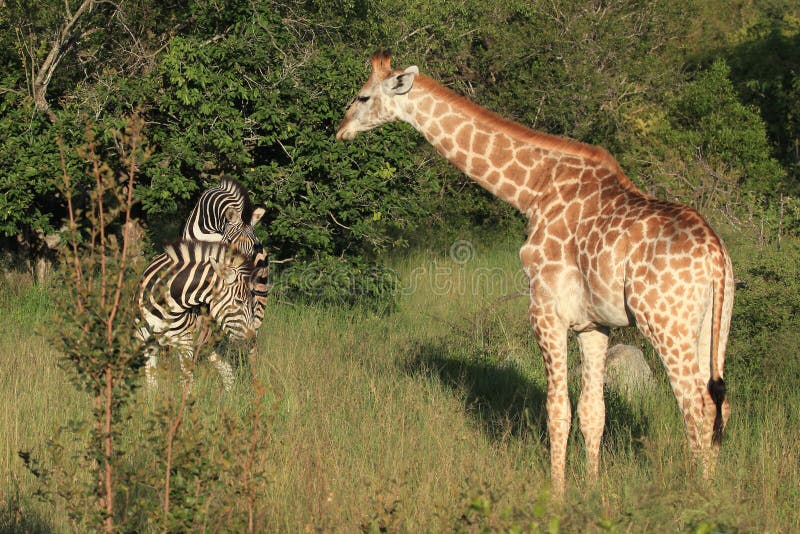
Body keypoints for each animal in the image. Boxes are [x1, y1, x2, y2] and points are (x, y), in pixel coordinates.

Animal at [336, 50, 733, 497]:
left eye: (363, 96)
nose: (340, 129)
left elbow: (557, 410)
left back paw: (699, 497)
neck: (532, 190)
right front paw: (591, 491)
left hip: (666, 324)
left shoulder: (545, 310)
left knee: (697, 407)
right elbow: (593, 412)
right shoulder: (594, 325)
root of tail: (716, 255)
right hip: (712, 326)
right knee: (720, 403)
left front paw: (556, 495)